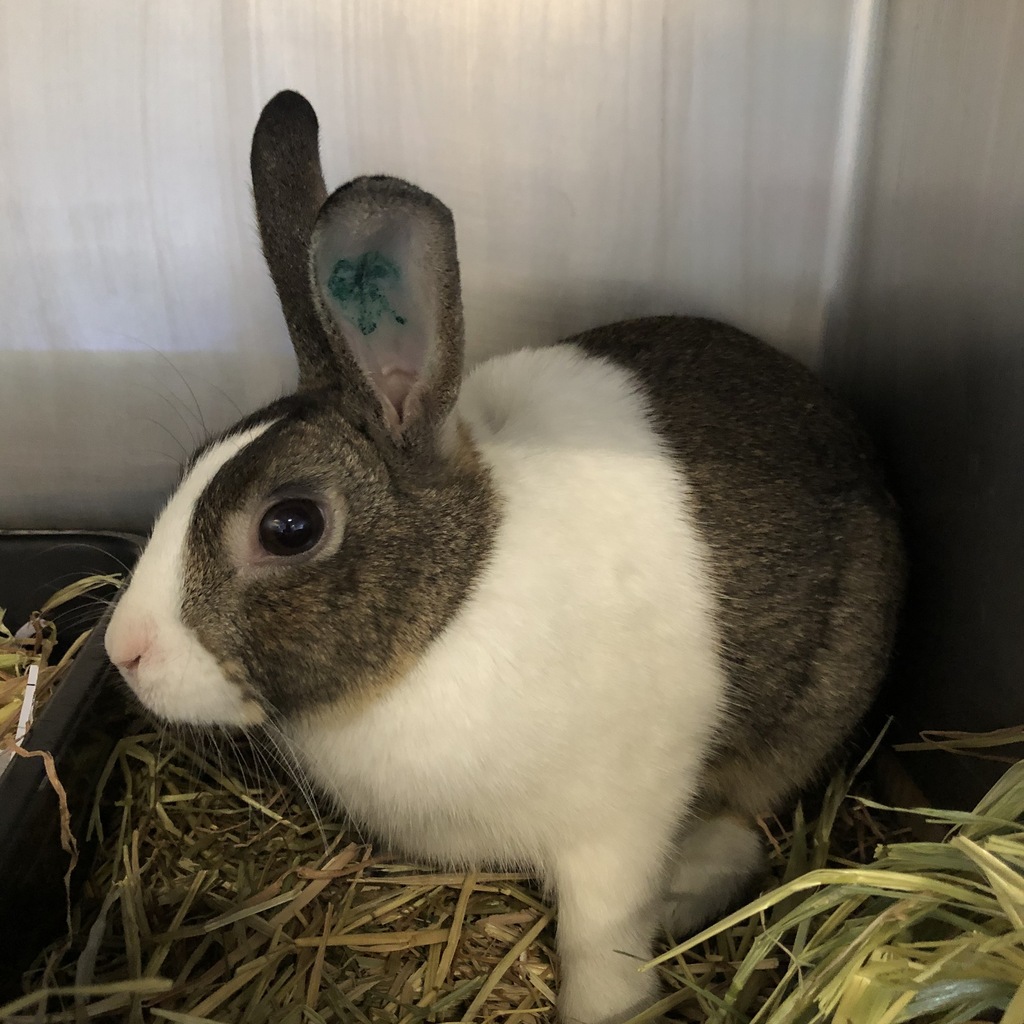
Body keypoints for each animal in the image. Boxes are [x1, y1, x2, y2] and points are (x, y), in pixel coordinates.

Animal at [104, 90, 905, 1024]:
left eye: (291, 526)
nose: (124, 651)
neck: (446, 618)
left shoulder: (614, 830)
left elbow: (601, 944)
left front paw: (610, 1006)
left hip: (813, 700)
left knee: (747, 821)